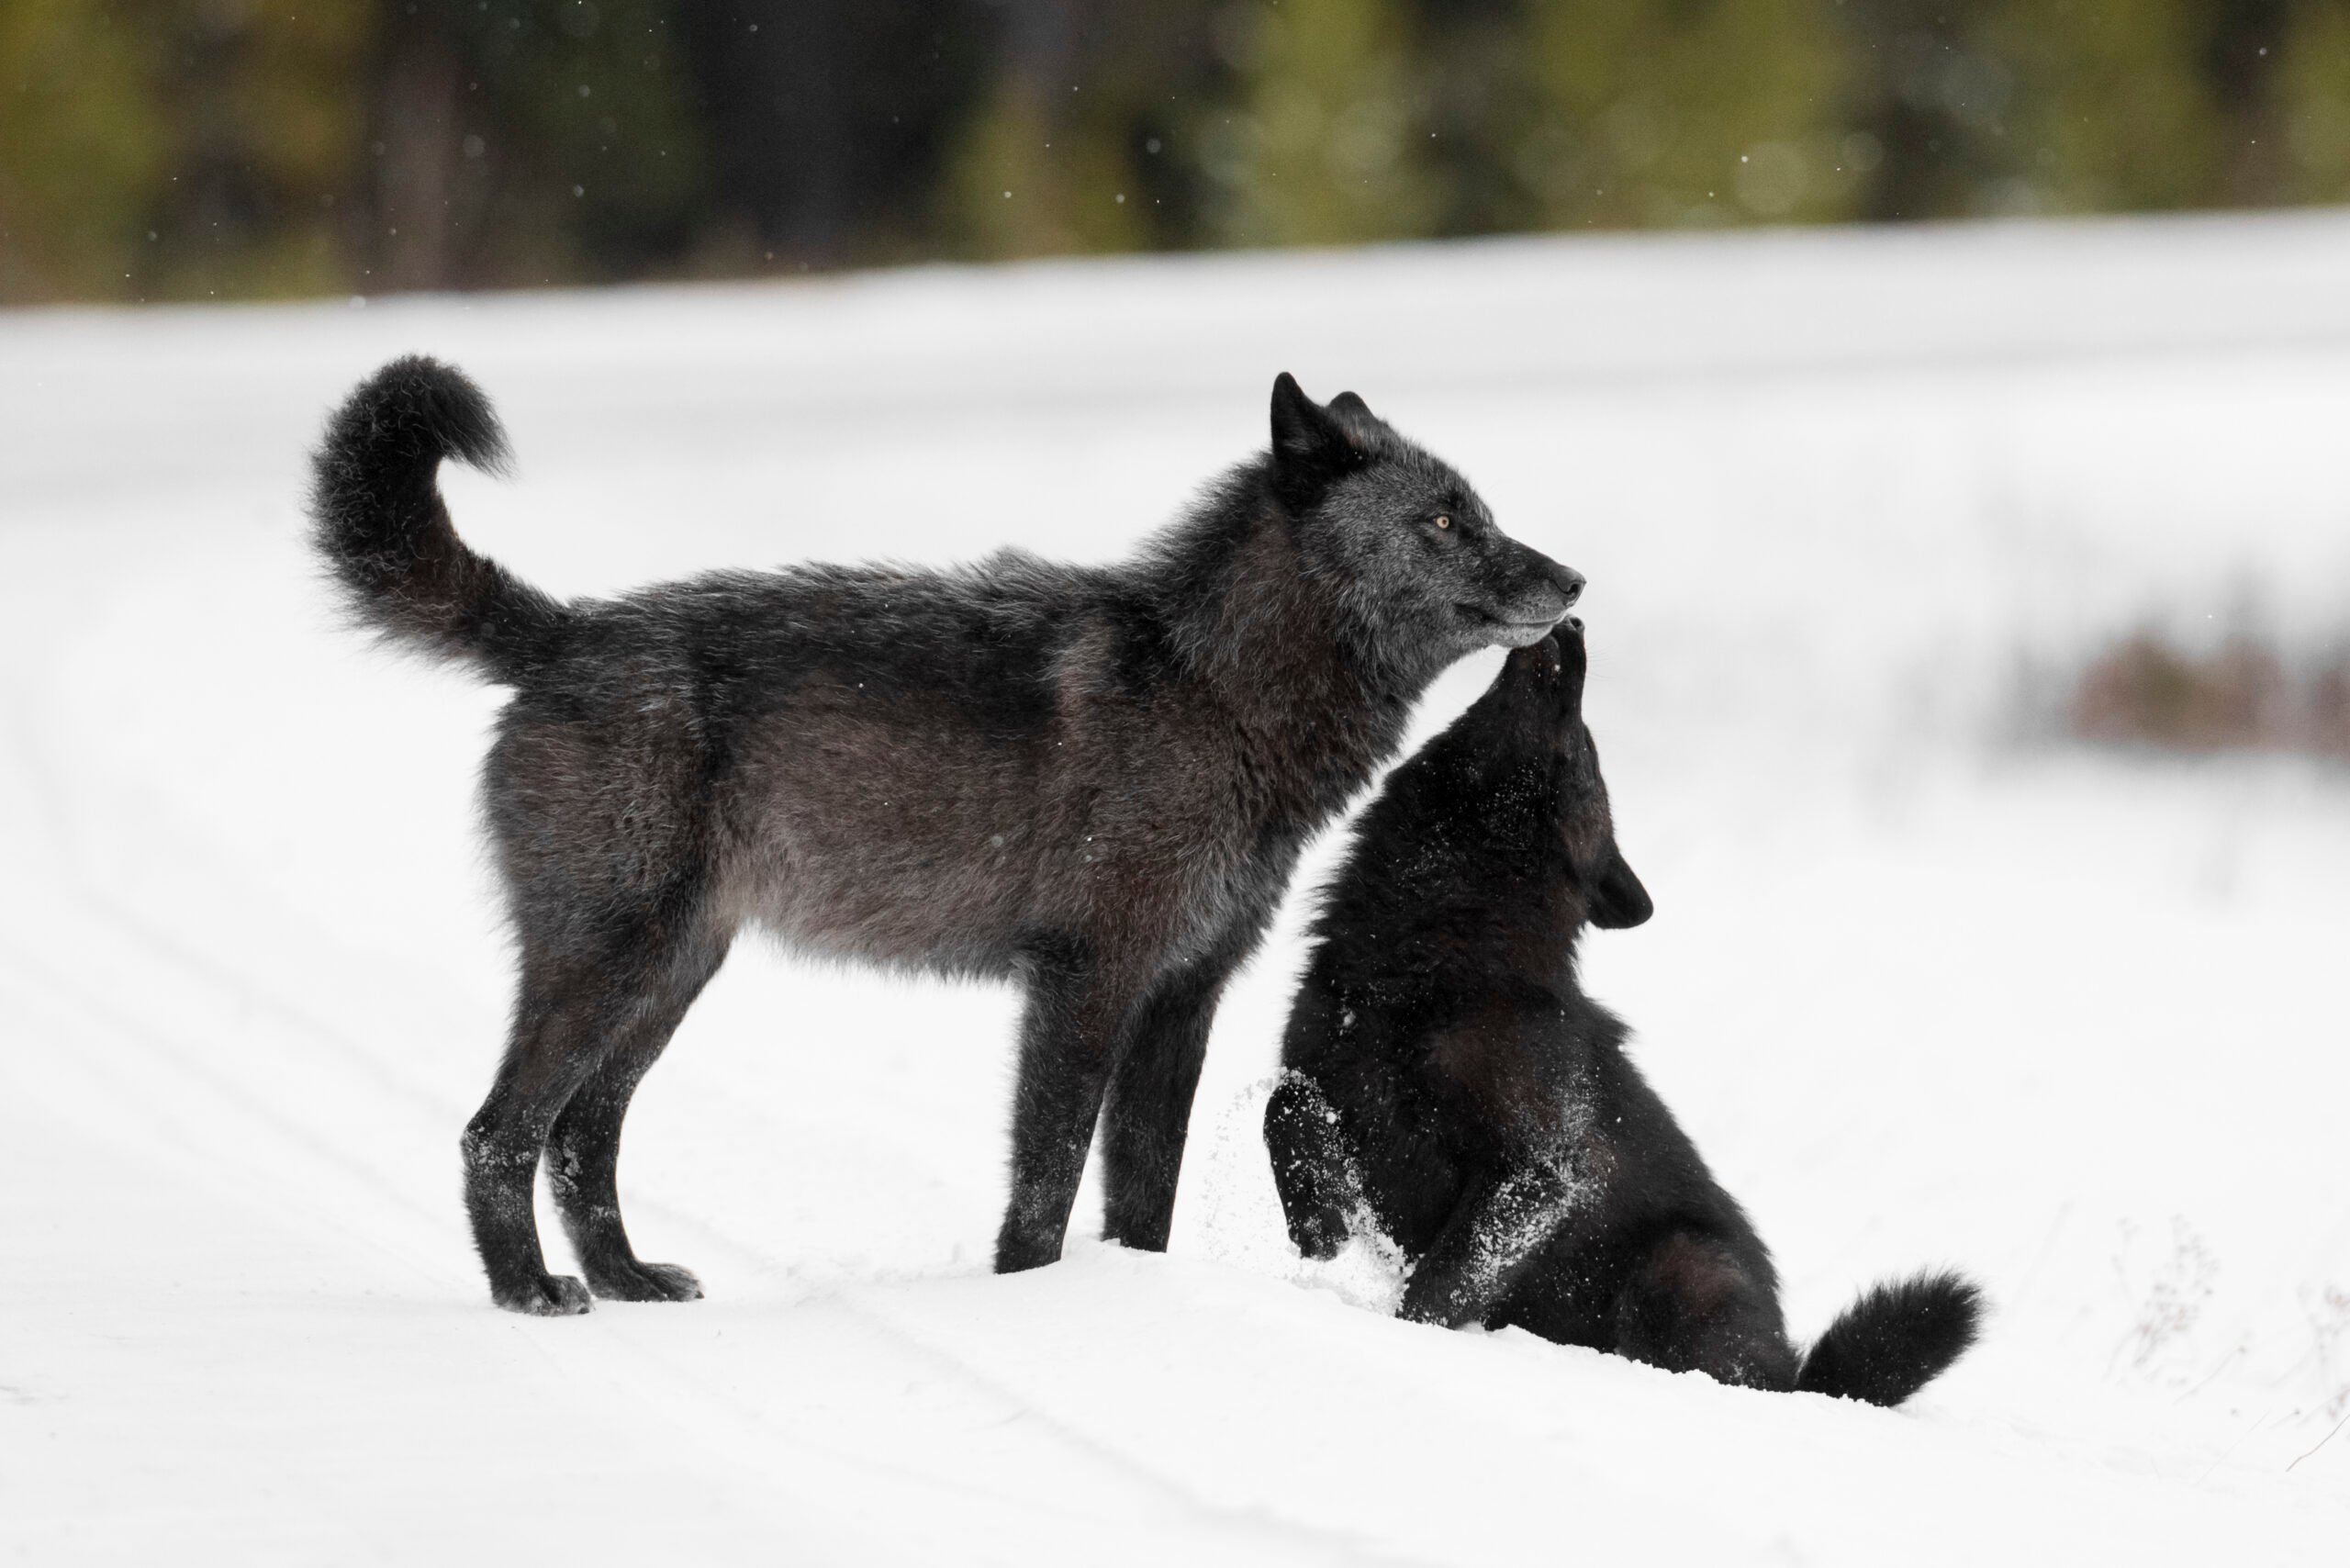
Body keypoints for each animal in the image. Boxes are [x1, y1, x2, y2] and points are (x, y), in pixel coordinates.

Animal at [309, 357, 1585, 1313]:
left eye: (1479, 511)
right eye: (1443, 519)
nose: (1571, 579)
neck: (1216, 690)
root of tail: (563, 632)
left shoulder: (1183, 996)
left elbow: (1144, 1197)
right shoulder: (1084, 984)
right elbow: (1046, 1183)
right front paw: (1029, 1301)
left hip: (670, 976)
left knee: (582, 1133)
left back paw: (624, 1279)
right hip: (608, 965)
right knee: (496, 1133)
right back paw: (529, 1295)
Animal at [1266, 622, 1981, 1405]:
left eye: (1585, 749)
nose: (1575, 627)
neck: (1431, 952)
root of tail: (1798, 1381)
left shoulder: (1541, 1170)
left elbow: (1440, 1283)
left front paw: (1401, 1332)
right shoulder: (1320, 1062)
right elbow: (1283, 1111)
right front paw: (1319, 1224)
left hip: (1679, 1268)